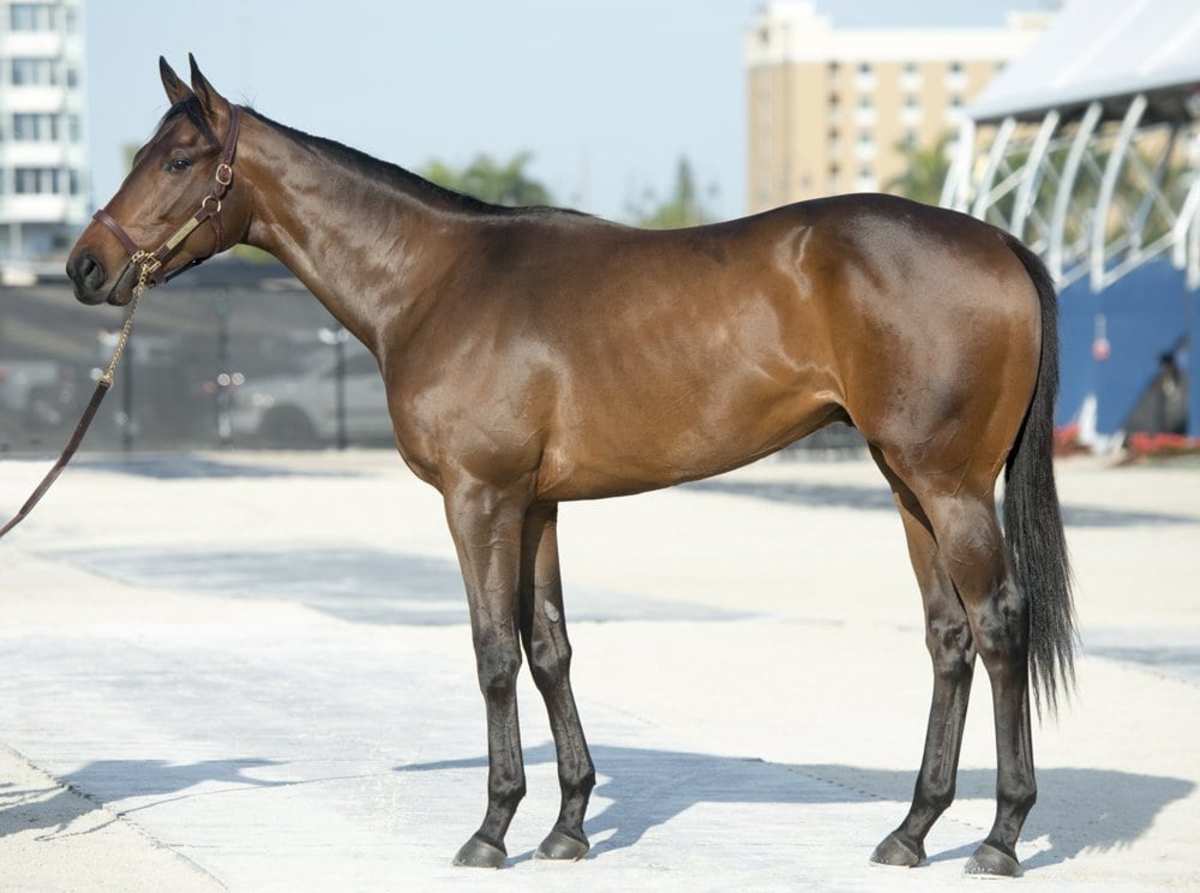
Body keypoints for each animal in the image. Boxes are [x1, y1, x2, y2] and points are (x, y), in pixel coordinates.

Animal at [66, 56, 1074, 877]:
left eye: (179, 162)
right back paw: (911, 830)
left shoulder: (478, 499)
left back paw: (1000, 837)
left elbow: (493, 653)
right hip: (908, 486)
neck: (434, 282)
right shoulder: (536, 504)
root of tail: (1000, 242)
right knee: (948, 637)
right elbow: (548, 646)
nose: (86, 265)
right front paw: (567, 825)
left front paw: (491, 828)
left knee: (998, 624)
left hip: (948, 486)